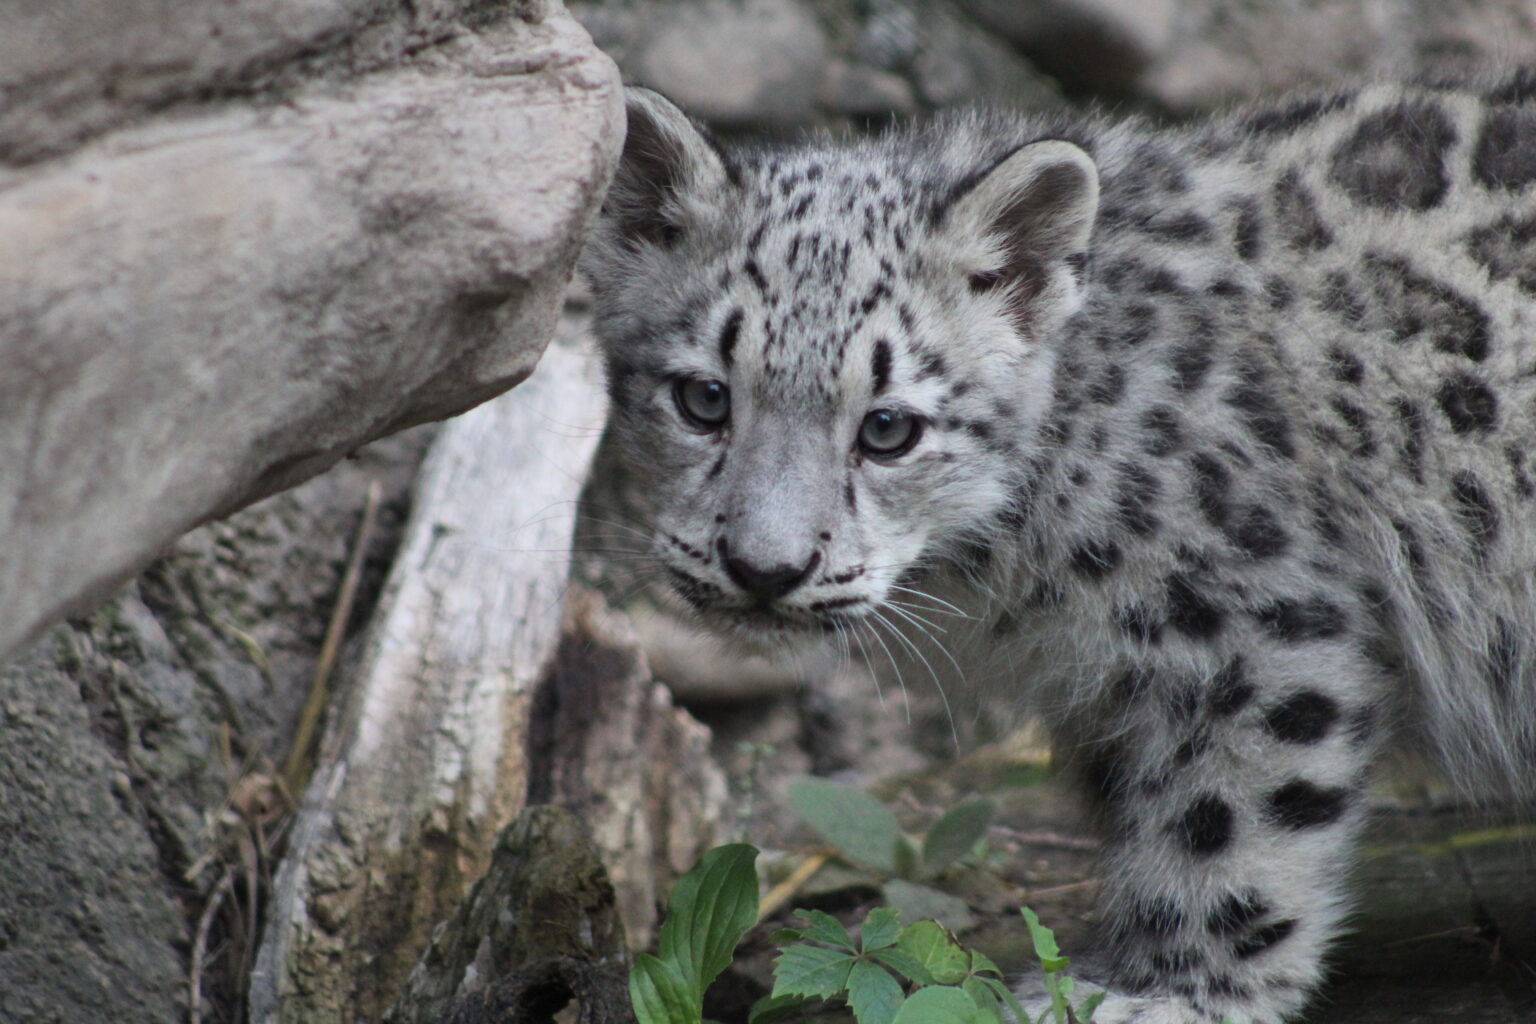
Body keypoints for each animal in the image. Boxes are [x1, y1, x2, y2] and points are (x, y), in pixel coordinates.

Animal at [577, 71, 1536, 1023]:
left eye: (888, 428)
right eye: (703, 398)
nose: (765, 568)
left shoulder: (1260, 618)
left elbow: (1228, 812)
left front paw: (1168, 991)